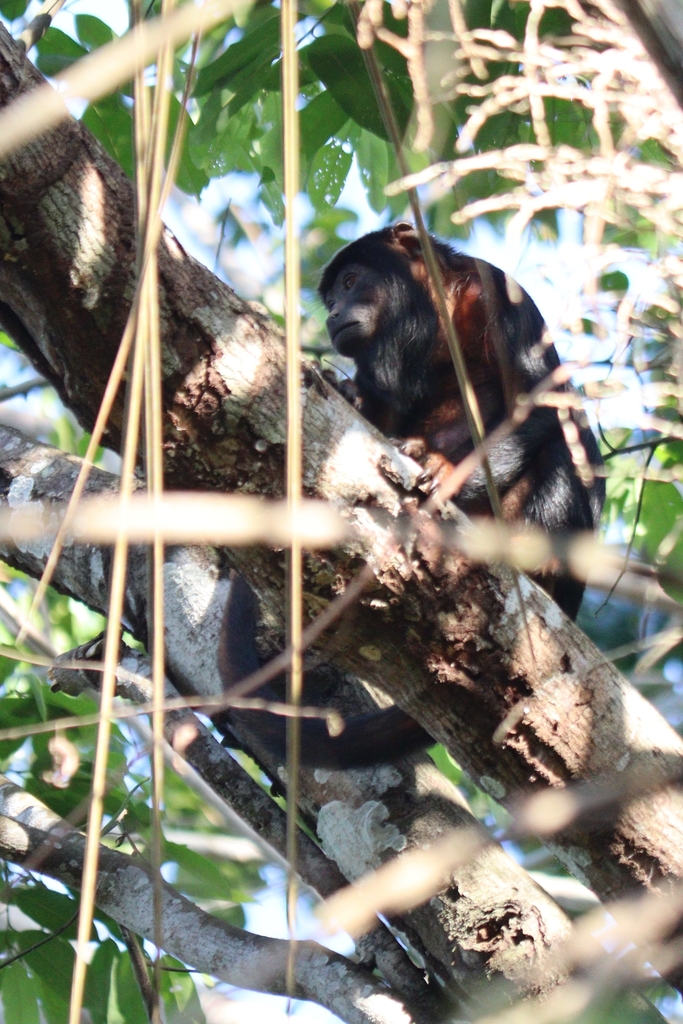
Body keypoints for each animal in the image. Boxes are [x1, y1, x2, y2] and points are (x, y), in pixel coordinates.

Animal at [215, 222, 605, 770]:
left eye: (352, 282)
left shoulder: (498, 295)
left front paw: (445, 475)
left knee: (564, 450)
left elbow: (537, 403)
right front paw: (345, 391)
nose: (333, 313)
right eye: (331, 297)